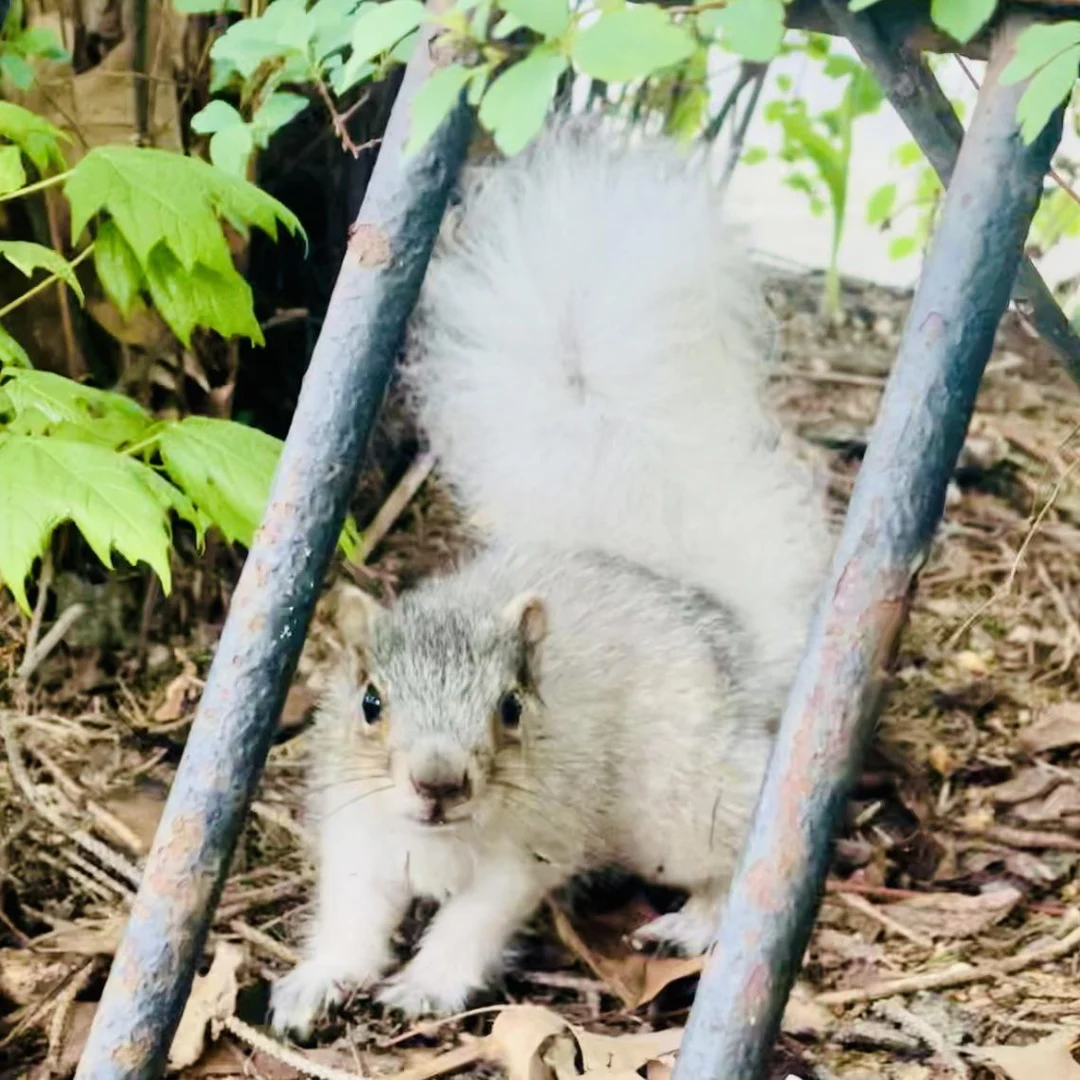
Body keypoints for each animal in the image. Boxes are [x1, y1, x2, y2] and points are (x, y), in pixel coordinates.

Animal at [268, 119, 833, 1036]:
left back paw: (700, 919)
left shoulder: (526, 849)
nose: (438, 782)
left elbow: (473, 921)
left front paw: (428, 984)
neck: (437, 840)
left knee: (733, 845)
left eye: (511, 707)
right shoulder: (358, 833)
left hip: (680, 802)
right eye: (369, 702)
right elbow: (352, 916)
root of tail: (718, 626)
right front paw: (318, 980)